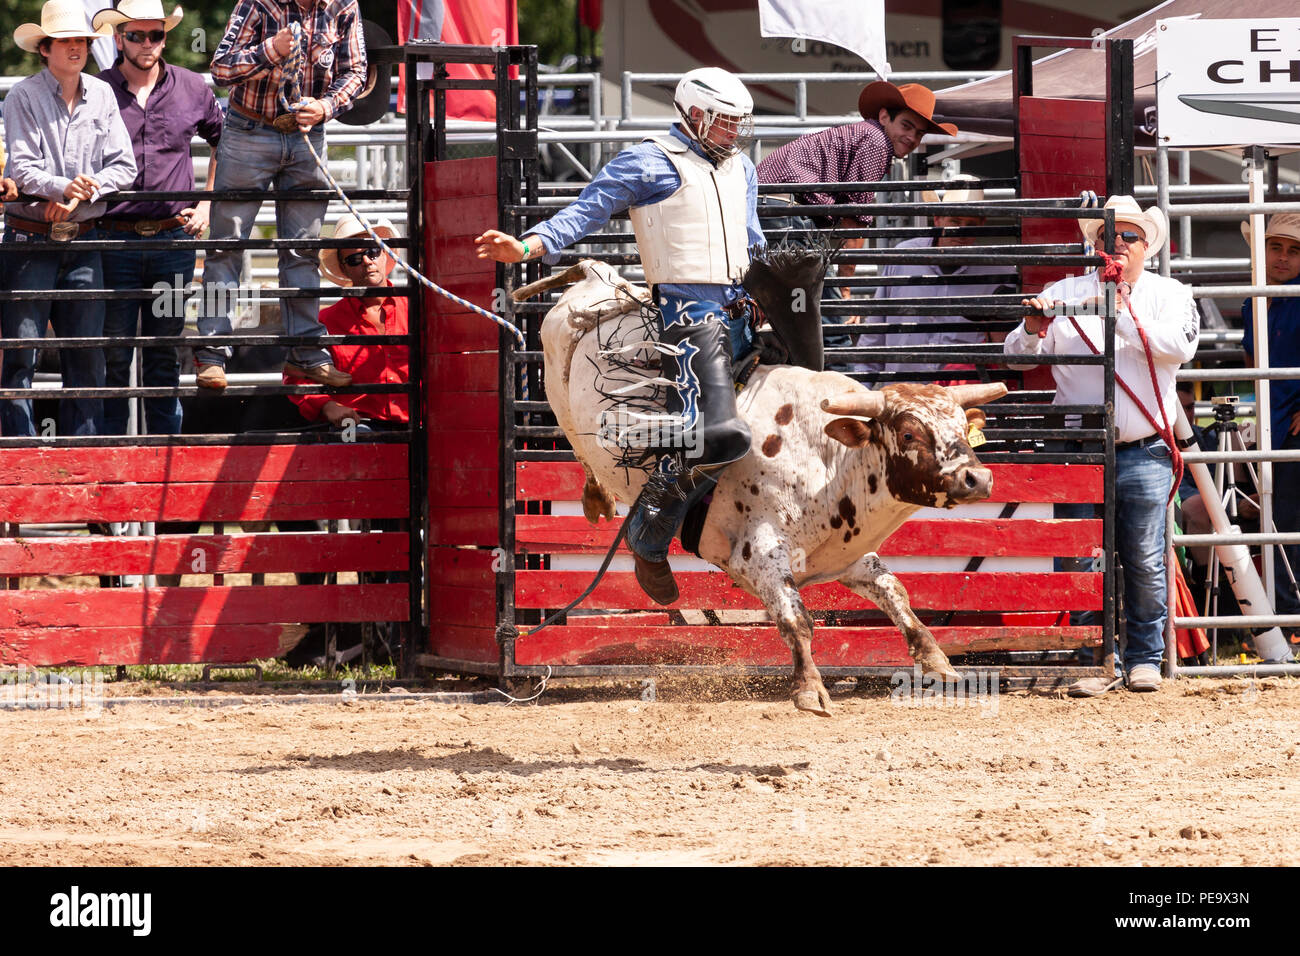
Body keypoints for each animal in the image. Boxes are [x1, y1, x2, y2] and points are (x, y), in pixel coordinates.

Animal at [523, 259, 1007, 716]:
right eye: (908, 433)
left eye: (962, 427)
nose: (977, 478)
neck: (825, 456)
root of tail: (602, 276)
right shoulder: (759, 554)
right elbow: (795, 618)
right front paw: (810, 690)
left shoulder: (847, 553)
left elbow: (894, 592)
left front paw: (937, 662)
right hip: (559, 397)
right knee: (580, 450)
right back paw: (598, 501)